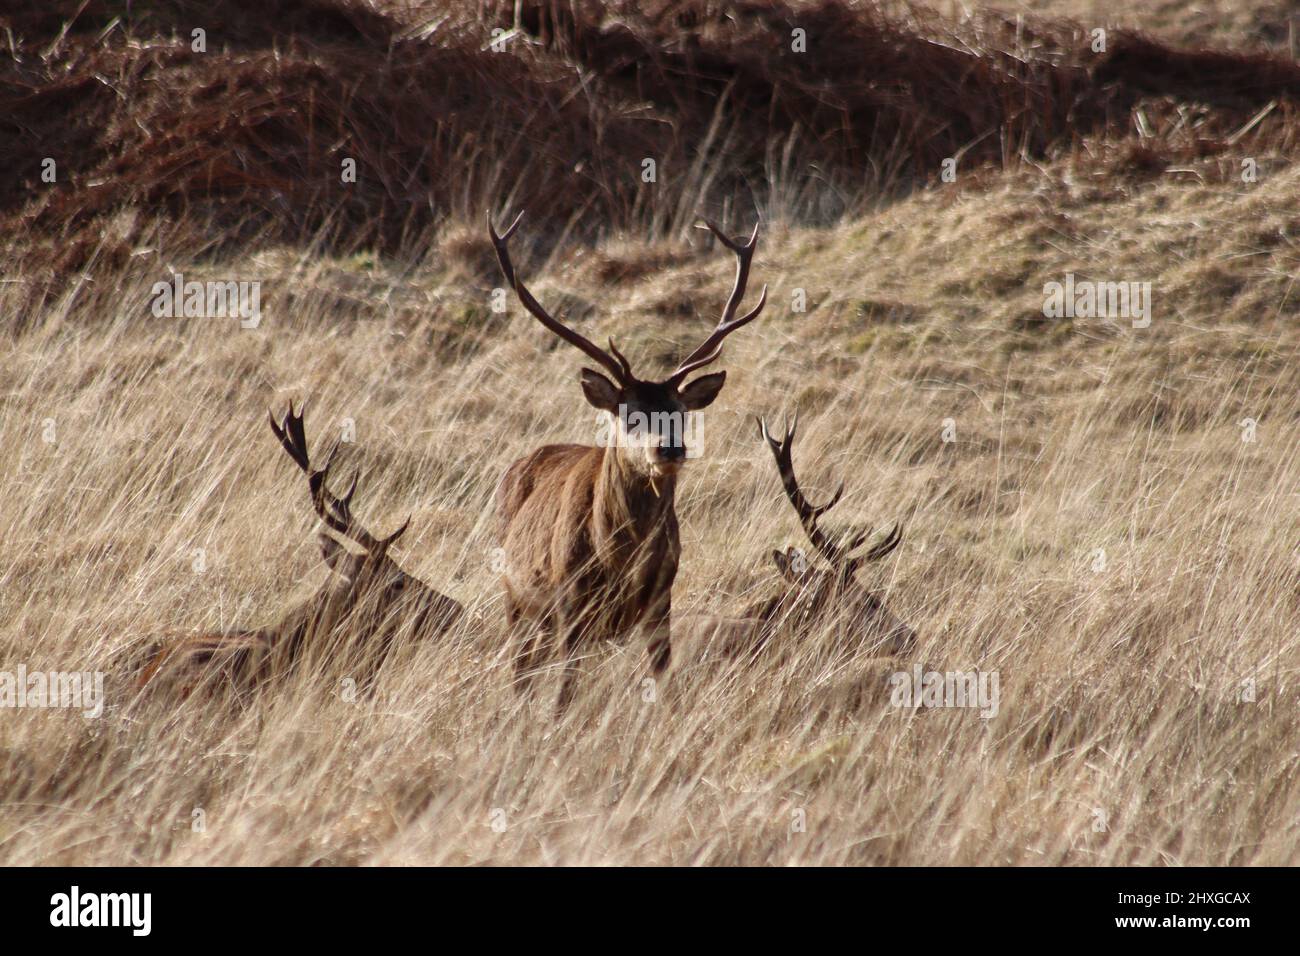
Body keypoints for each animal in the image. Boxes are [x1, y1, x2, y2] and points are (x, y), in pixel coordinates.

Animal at [487, 209, 767, 712]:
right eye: (630, 414)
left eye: (678, 412)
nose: (669, 449)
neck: (617, 553)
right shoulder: (570, 600)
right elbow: (564, 694)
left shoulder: (661, 598)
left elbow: (662, 679)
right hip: (514, 593)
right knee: (521, 672)